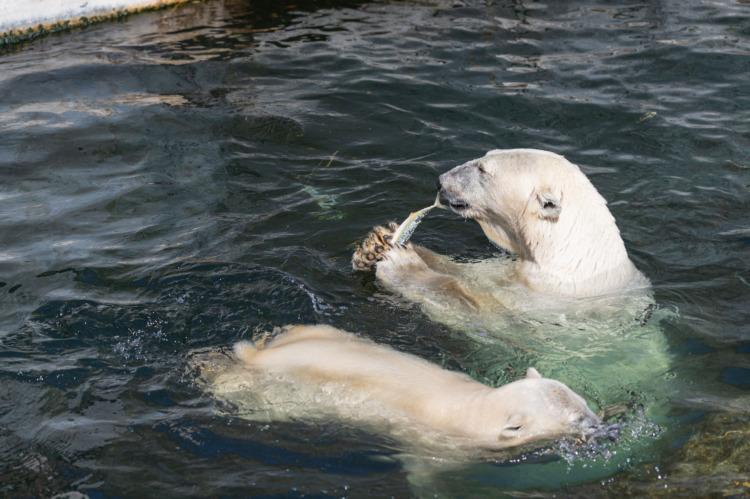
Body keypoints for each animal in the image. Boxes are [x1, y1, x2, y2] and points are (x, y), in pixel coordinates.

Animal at [193, 324, 604, 453]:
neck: (475, 407)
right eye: (575, 417)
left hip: (312, 331)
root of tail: (255, 359)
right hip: (264, 393)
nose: (600, 425)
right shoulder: (435, 443)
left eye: (586, 403)